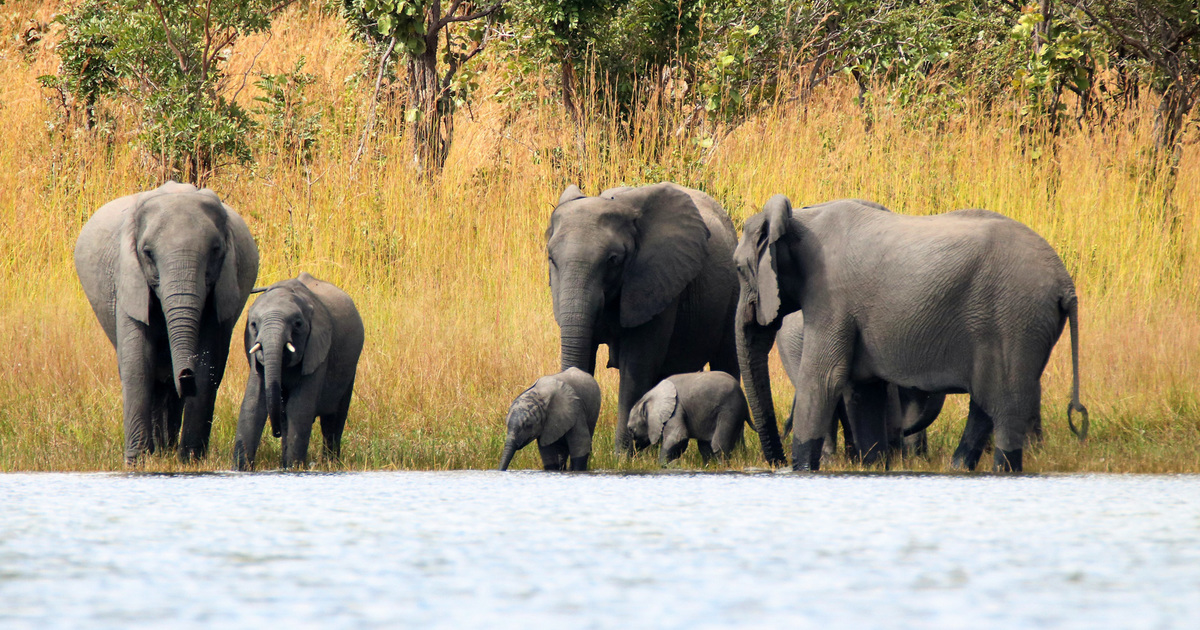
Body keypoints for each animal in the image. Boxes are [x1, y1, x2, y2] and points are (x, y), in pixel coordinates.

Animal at [75, 181, 259, 464]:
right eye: (148, 253)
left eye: (216, 251)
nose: (185, 374)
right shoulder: (129, 279)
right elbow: (138, 365)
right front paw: (137, 462)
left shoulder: (222, 288)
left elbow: (209, 366)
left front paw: (191, 460)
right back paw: (159, 451)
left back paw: (167, 450)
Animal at [232, 273, 364, 470]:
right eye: (253, 325)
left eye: (298, 324)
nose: (275, 433)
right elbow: (252, 405)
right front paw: (240, 469)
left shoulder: (318, 349)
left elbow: (299, 408)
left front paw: (294, 468)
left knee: (333, 419)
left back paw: (331, 464)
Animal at [547, 182, 739, 454]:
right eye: (551, 259)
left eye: (613, 260)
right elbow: (586, 358)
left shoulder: (655, 279)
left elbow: (636, 367)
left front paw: (621, 457)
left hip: (734, 290)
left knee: (727, 360)